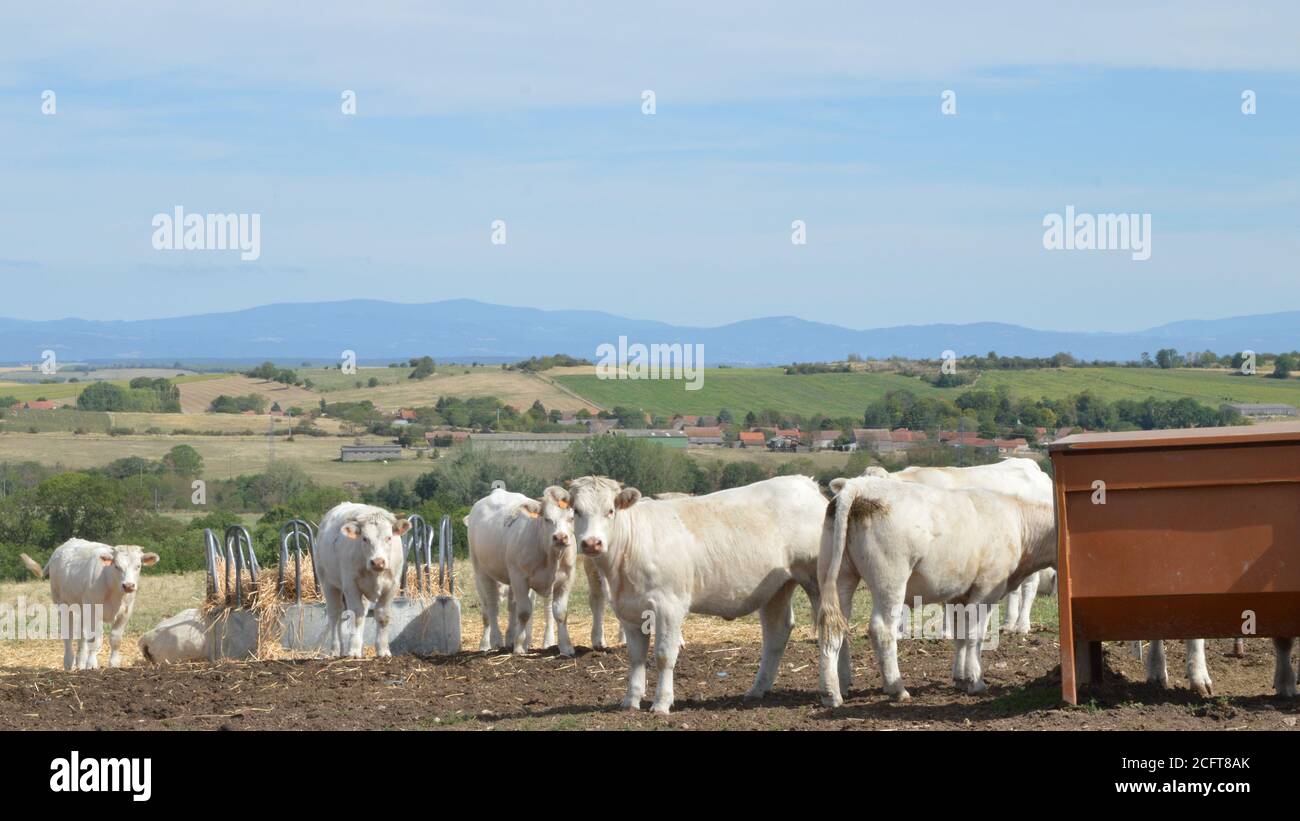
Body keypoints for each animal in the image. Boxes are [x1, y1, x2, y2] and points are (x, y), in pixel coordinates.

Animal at [21, 539, 160, 670]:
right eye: (117, 566)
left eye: (138, 566)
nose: (128, 585)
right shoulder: (94, 611)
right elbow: (95, 639)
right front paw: (92, 664)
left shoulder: (125, 612)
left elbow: (115, 639)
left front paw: (114, 663)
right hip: (62, 604)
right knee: (68, 634)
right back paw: (69, 662)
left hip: (83, 609)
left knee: (82, 636)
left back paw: (80, 662)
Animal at [314, 502, 411, 658]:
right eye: (365, 538)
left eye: (389, 537)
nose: (378, 562)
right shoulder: (350, 585)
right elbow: (357, 616)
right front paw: (353, 650)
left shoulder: (392, 585)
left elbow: (383, 615)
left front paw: (383, 650)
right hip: (328, 582)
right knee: (335, 614)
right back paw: (336, 649)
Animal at [467, 486, 580, 656]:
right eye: (547, 519)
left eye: (571, 518)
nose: (560, 537)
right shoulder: (519, 578)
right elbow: (524, 612)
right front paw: (519, 646)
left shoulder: (566, 579)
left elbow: (560, 613)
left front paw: (566, 647)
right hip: (482, 572)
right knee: (492, 607)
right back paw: (495, 640)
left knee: (512, 607)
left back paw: (510, 638)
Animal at [565, 474, 827, 715]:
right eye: (576, 511)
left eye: (610, 510)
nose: (592, 543)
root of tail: (804, 482)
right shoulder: (629, 610)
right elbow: (636, 657)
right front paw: (631, 701)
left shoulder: (669, 606)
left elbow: (663, 655)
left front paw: (661, 703)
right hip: (776, 588)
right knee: (776, 632)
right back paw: (757, 689)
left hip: (815, 581)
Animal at [817, 475, 1056, 706]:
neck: (1019, 522)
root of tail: (857, 485)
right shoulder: (987, 589)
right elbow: (975, 635)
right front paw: (975, 680)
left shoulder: (959, 594)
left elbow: (960, 635)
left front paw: (960, 678)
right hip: (890, 579)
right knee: (882, 629)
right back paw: (896, 689)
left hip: (840, 575)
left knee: (835, 626)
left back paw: (834, 691)